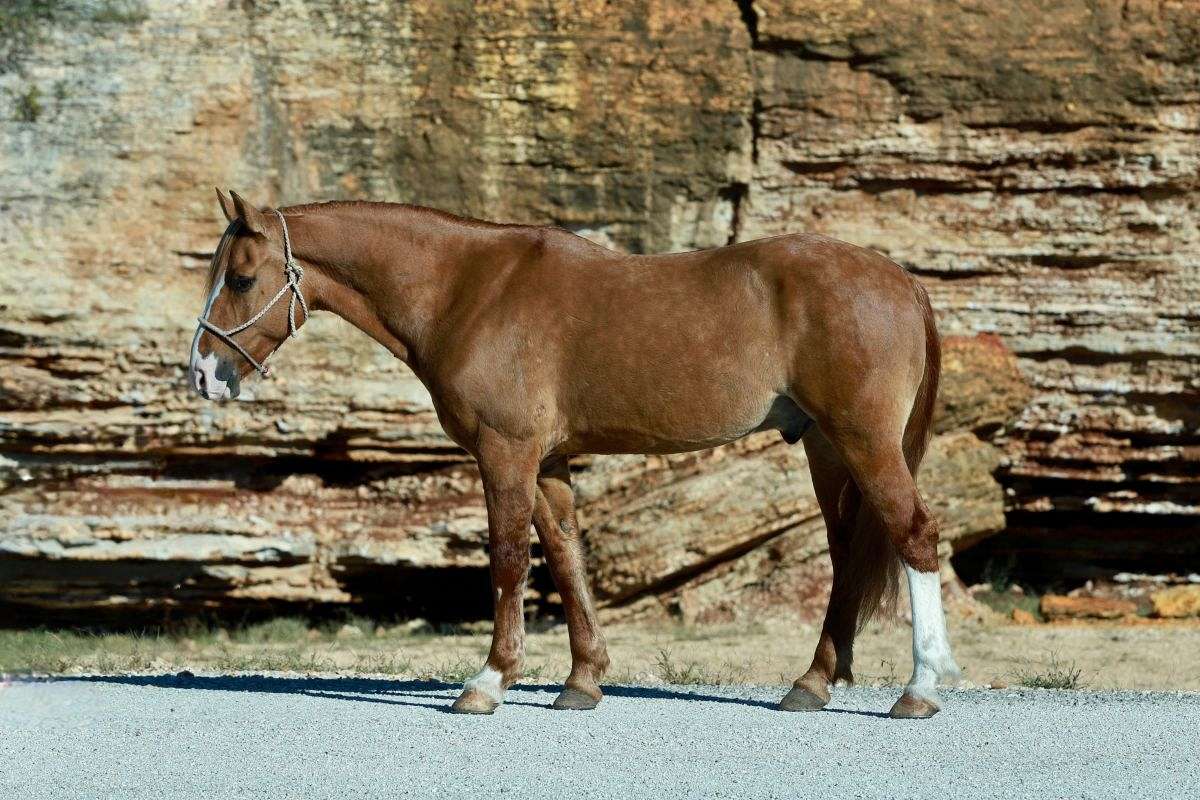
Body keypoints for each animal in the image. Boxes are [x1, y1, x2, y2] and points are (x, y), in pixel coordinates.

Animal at [190, 189, 962, 718]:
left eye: (241, 279)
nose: (201, 373)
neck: (468, 290)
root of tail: (900, 279)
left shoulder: (505, 453)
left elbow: (508, 561)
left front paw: (488, 681)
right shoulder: (548, 463)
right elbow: (565, 557)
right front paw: (582, 680)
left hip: (864, 441)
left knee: (915, 537)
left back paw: (920, 688)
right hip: (828, 448)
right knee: (849, 557)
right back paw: (812, 683)